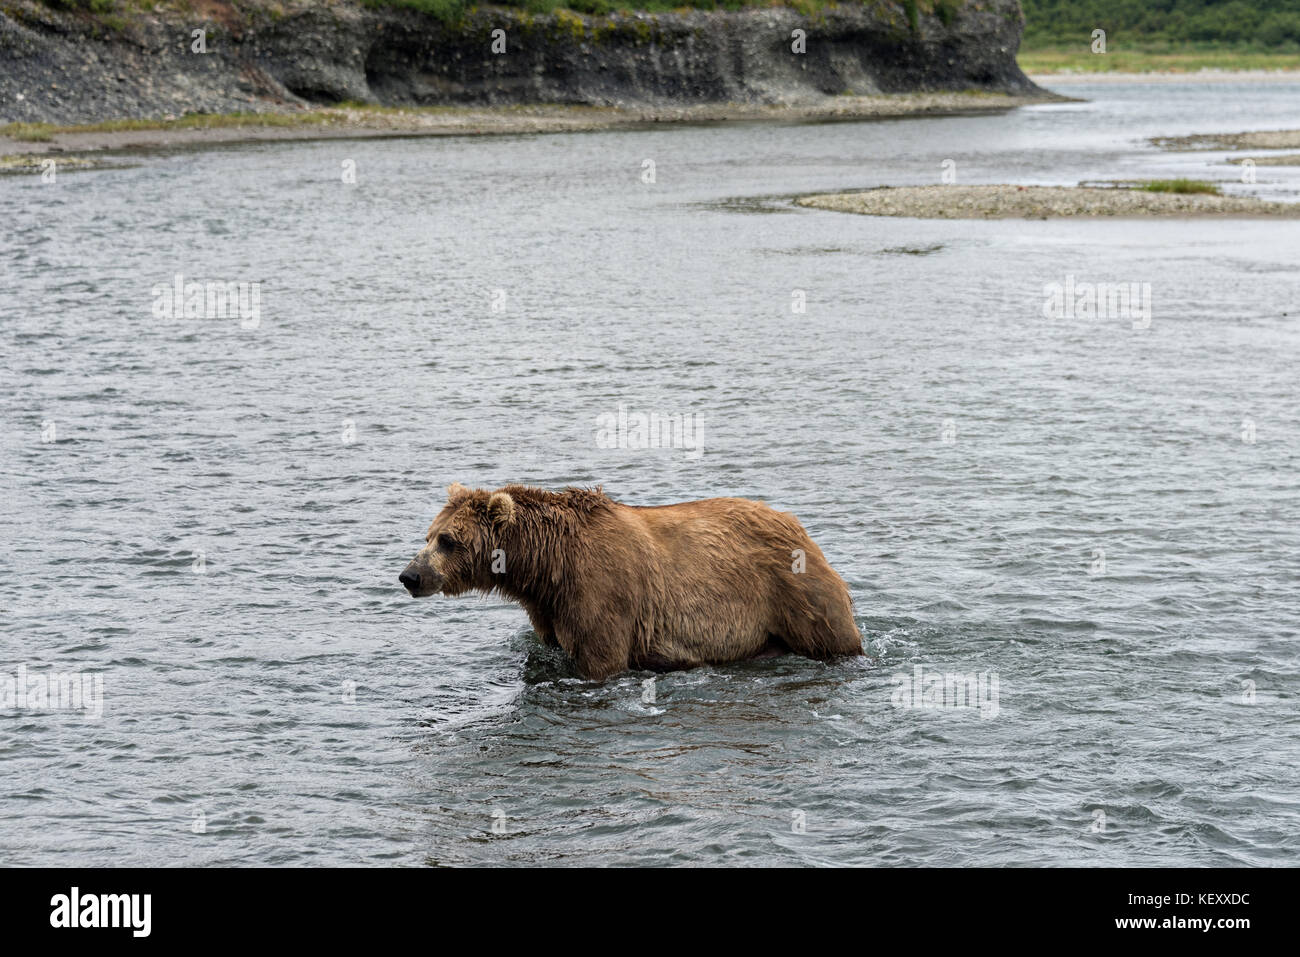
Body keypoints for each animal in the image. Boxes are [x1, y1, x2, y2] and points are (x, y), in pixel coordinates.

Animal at [398, 483, 863, 680]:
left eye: (448, 540)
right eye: (428, 534)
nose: (410, 575)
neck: (546, 566)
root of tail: (797, 525)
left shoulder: (601, 593)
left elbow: (601, 658)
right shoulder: (549, 606)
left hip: (792, 591)